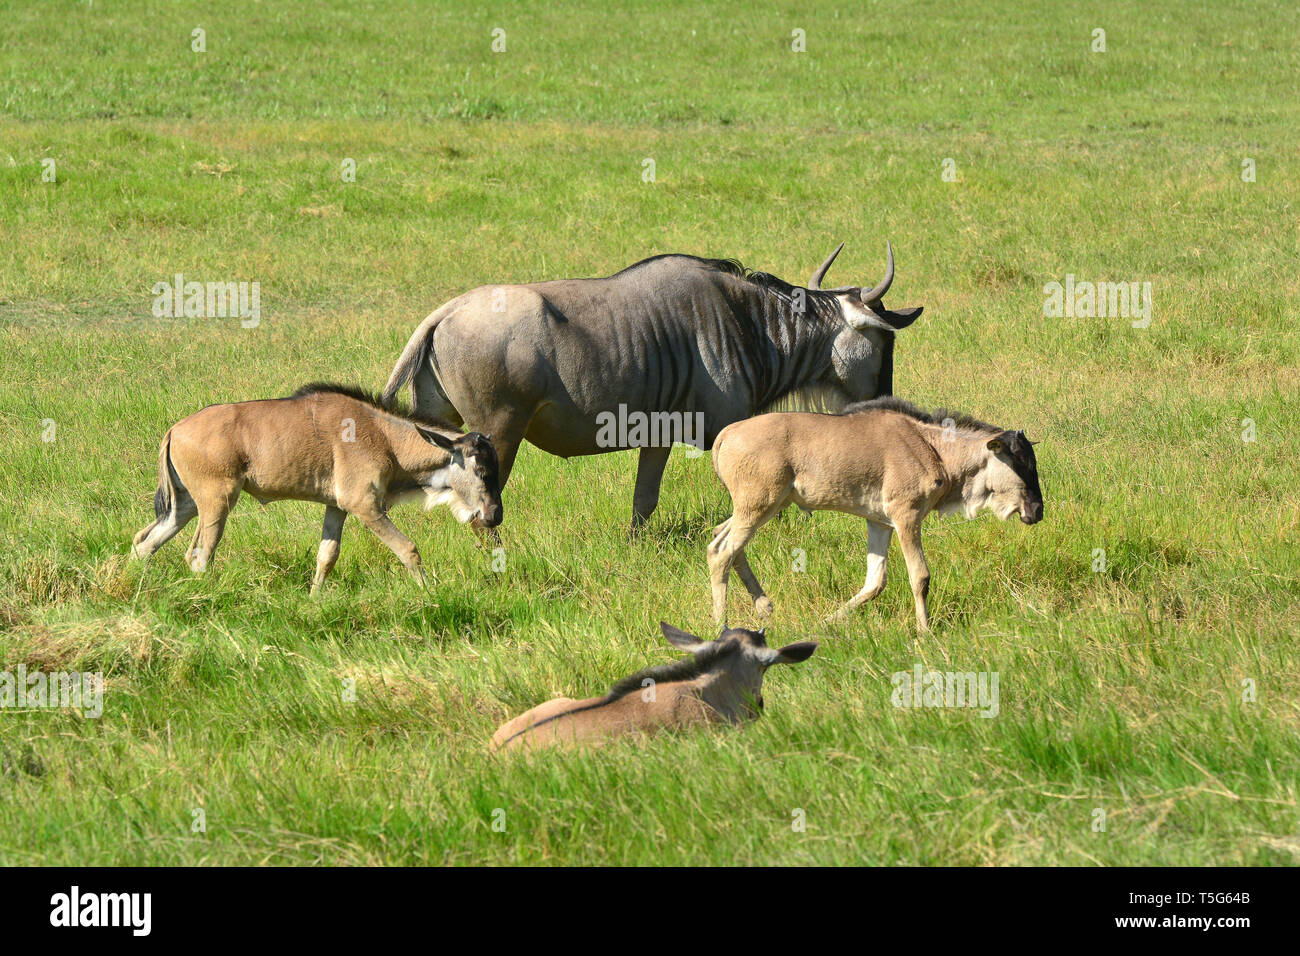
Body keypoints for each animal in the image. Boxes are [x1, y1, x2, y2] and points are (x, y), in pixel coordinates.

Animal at [130, 383, 502, 591]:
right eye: (482, 469)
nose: (494, 515)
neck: (385, 437)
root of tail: (175, 429)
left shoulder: (336, 507)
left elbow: (327, 556)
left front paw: (314, 599)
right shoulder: (366, 507)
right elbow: (408, 549)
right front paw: (430, 593)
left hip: (186, 506)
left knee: (145, 542)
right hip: (217, 503)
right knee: (198, 555)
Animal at [708, 397, 1043, 631]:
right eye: (1020, 463)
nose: (1037, 510)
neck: (933, 447)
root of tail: (726, 434)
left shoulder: (879, 523)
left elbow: (875, 582)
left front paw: (826, 623)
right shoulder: (906, 516)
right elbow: (920, 576)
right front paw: (925, 631)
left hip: (763, 506)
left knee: (720, 539)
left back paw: (764, 606)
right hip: (759, 505)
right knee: (721, 552)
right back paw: (721, 624)